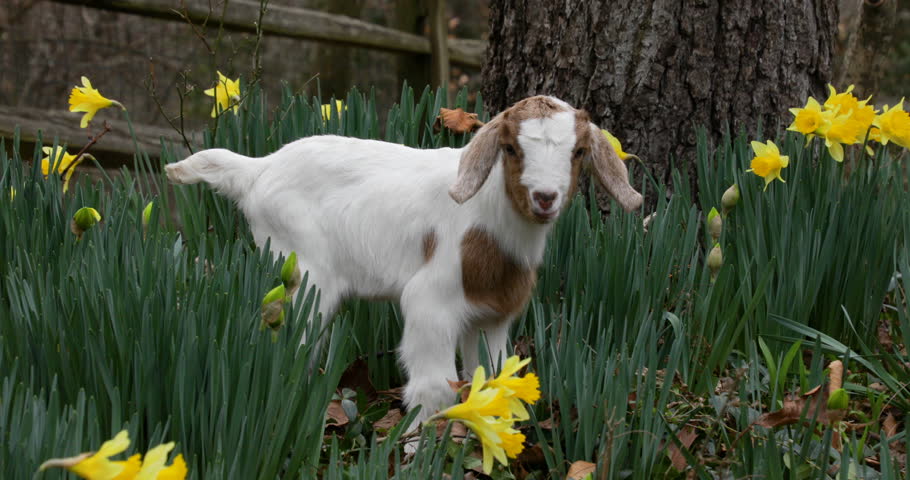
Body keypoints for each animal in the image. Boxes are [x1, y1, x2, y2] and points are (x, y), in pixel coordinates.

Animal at [165, 95, 643, 426]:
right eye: (509, 148)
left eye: (578, 152)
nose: (545, 198)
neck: (489, 219)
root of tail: (257, 170)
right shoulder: (431, 302)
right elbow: (434, 388)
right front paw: (419, 446)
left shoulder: (492, 316)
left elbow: (490, 380)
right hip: (302, 268)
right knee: (288, 335)